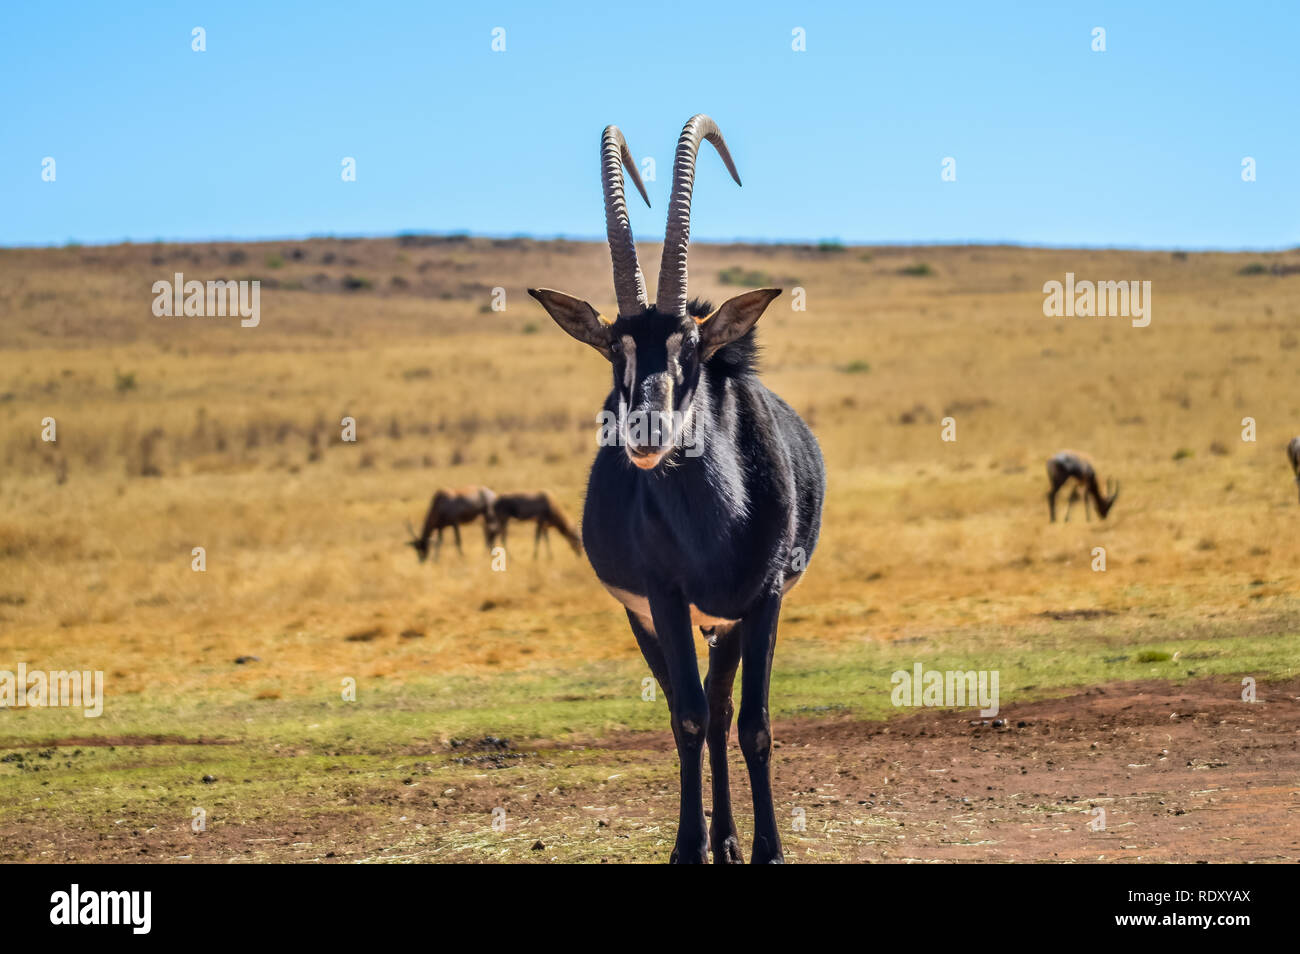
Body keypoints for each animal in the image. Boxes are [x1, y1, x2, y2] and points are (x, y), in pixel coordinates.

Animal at [525, 115, 821, 863]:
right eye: (614, 349)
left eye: (691, 345)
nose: (646, 431)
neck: (717, 521)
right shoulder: (663, 598)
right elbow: (687, 717)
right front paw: (690, 847)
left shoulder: (764, 599)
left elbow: (754, 723)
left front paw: (769, 848)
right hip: (657, 620)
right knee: (692, 712)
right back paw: (717, 840)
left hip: (726, 623)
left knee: (723, 713)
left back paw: (732, 840)